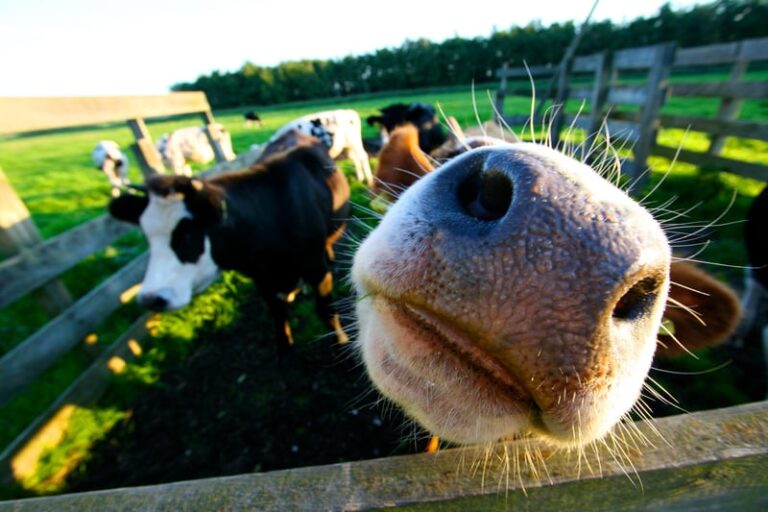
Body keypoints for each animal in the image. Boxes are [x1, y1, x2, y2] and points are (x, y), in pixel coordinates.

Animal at [109, 136, 350, 352]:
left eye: (188, 233)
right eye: (148, 236)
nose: (151, 299)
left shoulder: (315, 268)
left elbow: (326, 309)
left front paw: (341, 342)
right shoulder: (262, 279)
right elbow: (278, 316)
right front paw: (286, 349)